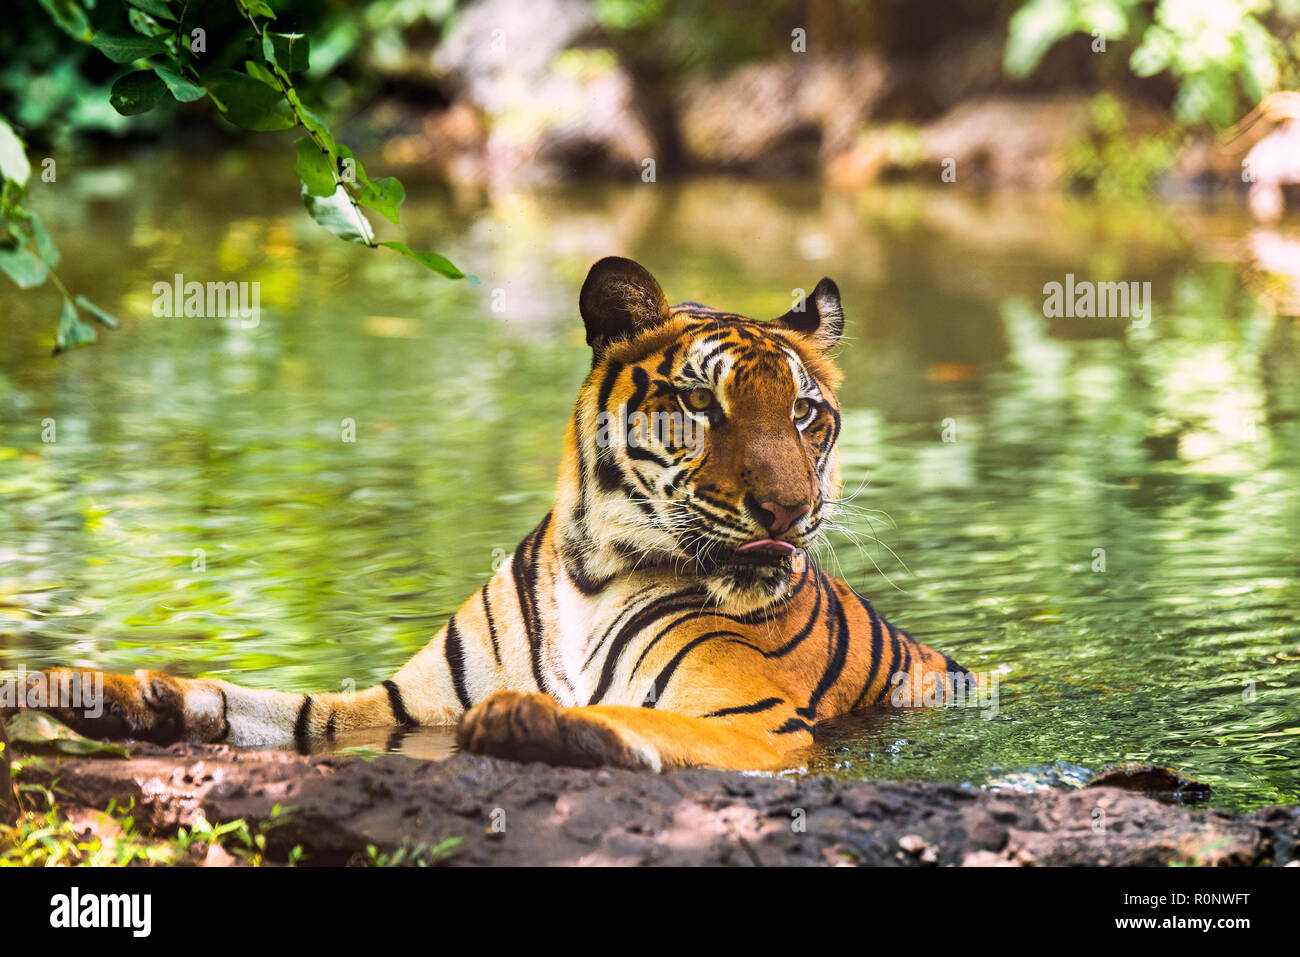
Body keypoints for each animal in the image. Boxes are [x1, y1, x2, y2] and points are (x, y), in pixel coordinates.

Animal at [8, 257, 970, 772]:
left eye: (805, 414)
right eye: (704, 404)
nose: (790, 507)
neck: (593, 570)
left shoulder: (759, 725)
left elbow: (642, 719)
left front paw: (532, 721)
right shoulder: (400, 705)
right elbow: (273, 706)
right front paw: (92, 689)